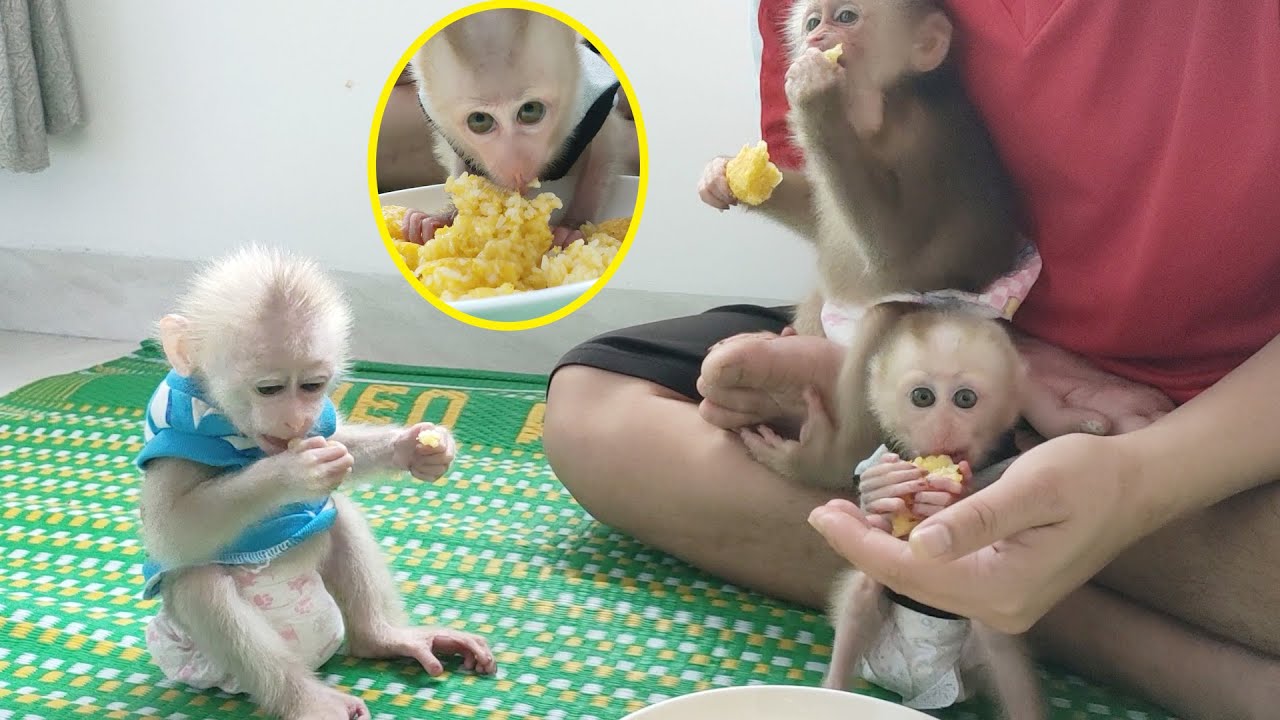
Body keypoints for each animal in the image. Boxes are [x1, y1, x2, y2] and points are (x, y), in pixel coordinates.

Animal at [134, 245, 497, 720]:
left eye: (311, 385)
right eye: (269, 389)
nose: (294, 421)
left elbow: (338, 444)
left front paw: (418, 449)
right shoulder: (178, 427)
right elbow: (171, 528)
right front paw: (293, 472)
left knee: (337, 516)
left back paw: (381, 637)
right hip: (186, 654)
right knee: (197, 583)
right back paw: (307, 700)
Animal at [403, 8, 631, 248]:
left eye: (530, 110)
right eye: (479, 120)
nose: (517, 171)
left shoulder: (594, 103)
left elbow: (606, 142)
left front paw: (573, 226)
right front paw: (445, 214)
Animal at [699, 0, 1033, 488]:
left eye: (846, 17)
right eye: (812, 22)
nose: (817, 39)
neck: (871, 112)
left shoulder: (923, 139)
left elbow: (898, 257)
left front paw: (815, 97)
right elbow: (819, 218)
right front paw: (725, 176)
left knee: (884, 316)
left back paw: (821, 461)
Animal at [821, 305, 1047, 720]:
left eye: (965, 399)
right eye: (923, 397)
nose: (943, 429)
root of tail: (915, 687)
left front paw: (951, 498)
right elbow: (875, 520)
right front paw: (880, 487)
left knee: (995, 637)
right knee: (863, 589)